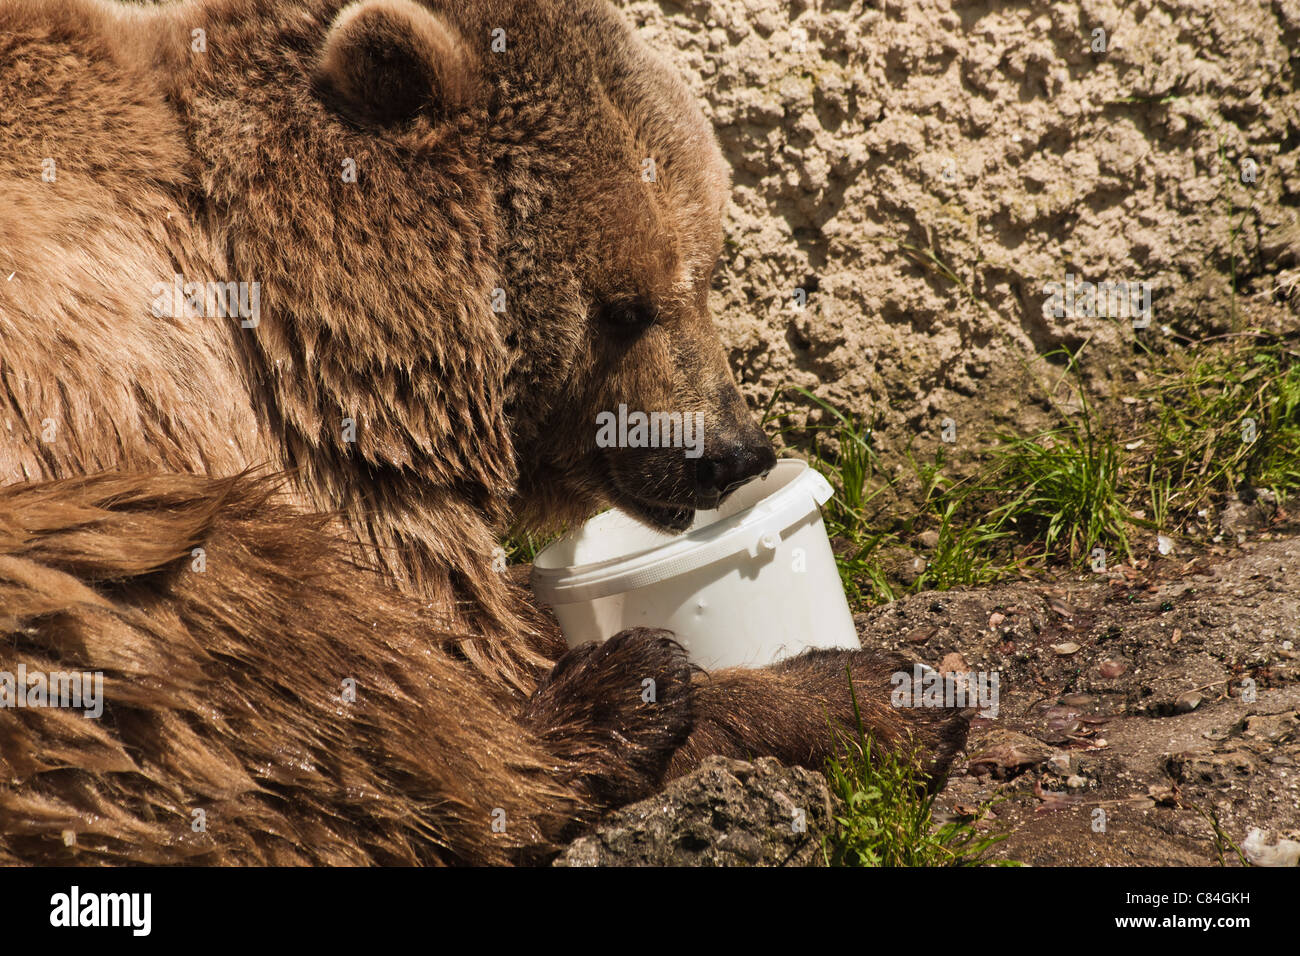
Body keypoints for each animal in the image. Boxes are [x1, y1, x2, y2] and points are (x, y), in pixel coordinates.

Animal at [0, 0, 971, 864]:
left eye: (707, 268)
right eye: (624, 306)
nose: (730, 453)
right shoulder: (163, 394)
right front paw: (862, 690)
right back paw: (627, 703)